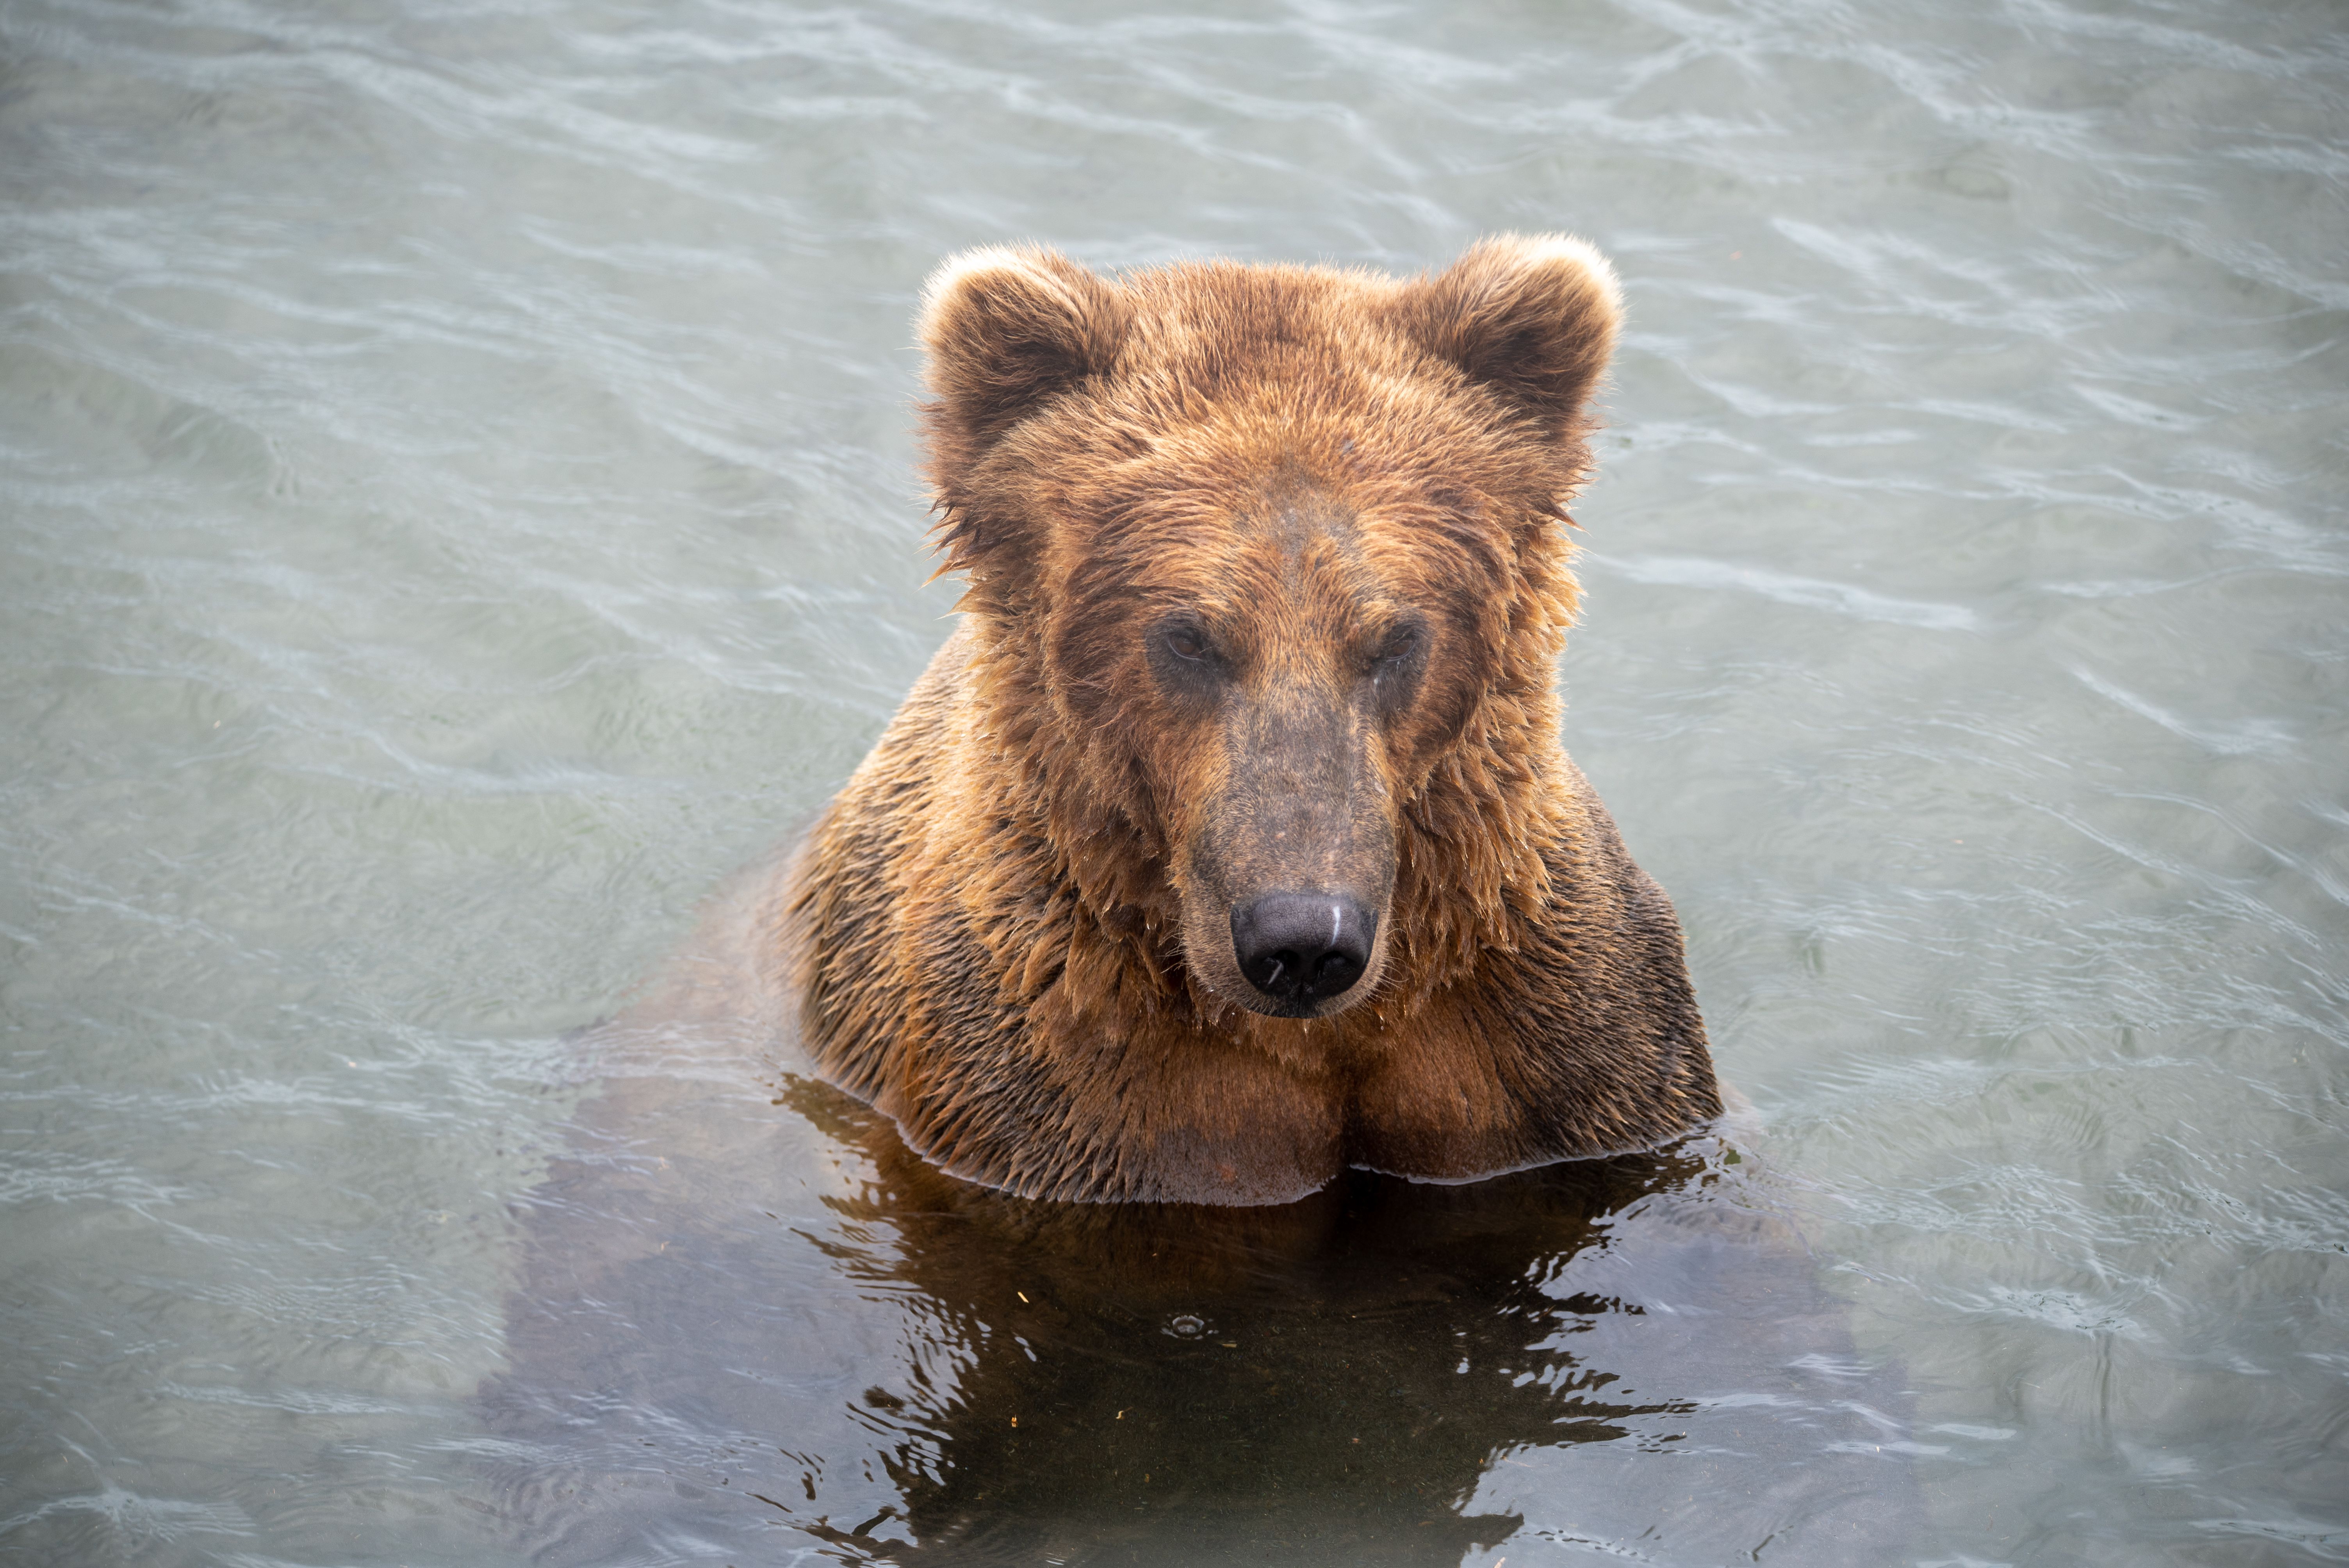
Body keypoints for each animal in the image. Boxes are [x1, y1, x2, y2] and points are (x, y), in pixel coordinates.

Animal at [780, 234, 1720, 1205]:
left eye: (1394, 637)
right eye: (1189, 636)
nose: (1302, 941)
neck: (1332, 1034)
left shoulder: (1556, 1041)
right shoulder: (1058, 1087)